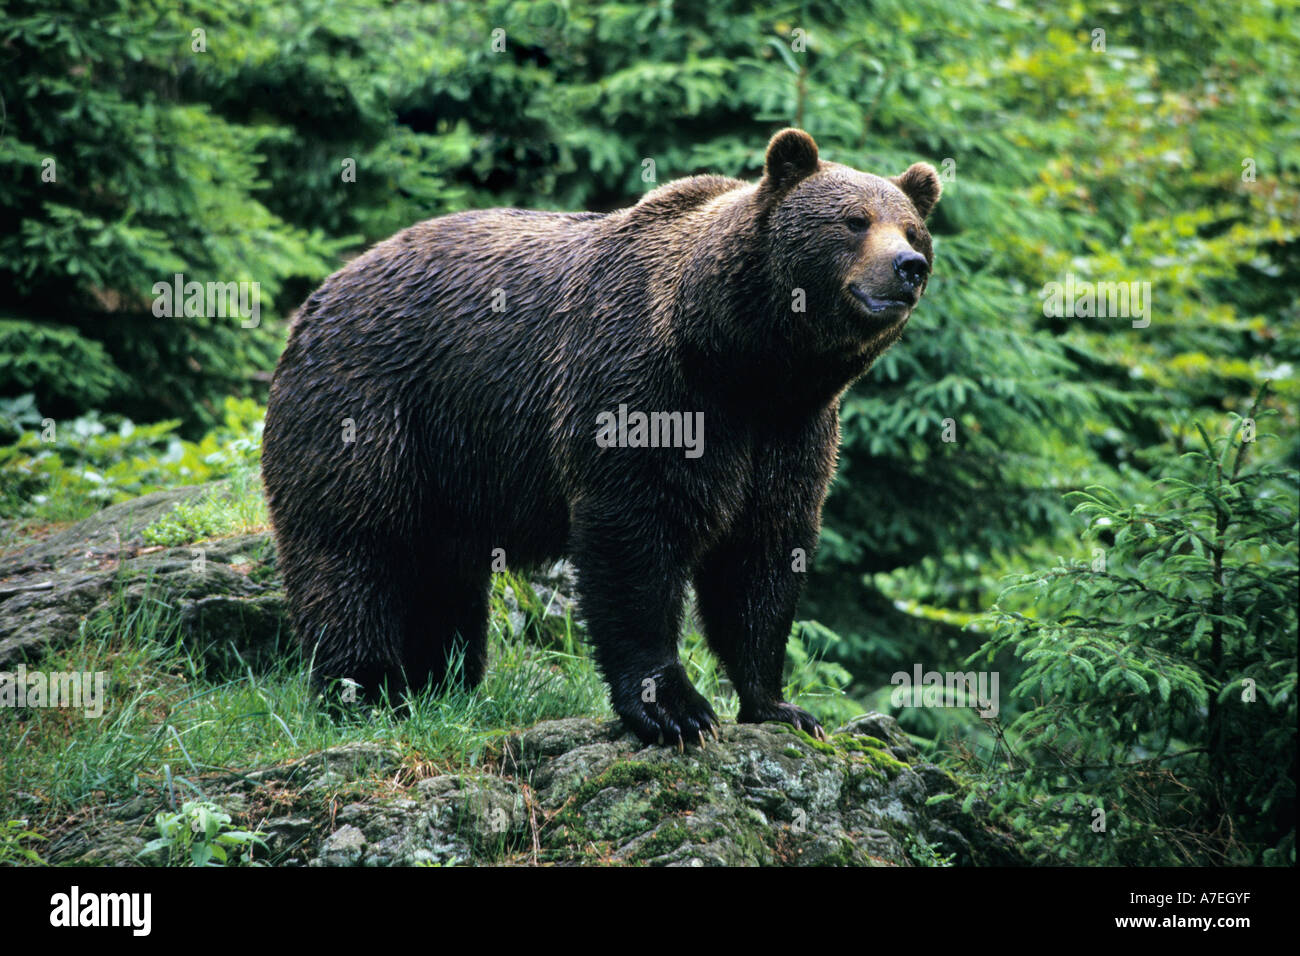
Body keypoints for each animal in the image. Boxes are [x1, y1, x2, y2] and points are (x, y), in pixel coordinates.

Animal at [261, 128, 940, 747]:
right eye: (854, 221)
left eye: (911, 228)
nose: (910, 268)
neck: (741, 360)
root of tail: (321, 294)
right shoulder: (642, 384)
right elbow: (636, 538)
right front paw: (675, 710)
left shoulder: (790, 433)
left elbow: (765, 554)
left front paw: (779, 706)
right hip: (373, 407)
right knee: (355, 544)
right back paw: (365, 689)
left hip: (453, 463)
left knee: (442, 572)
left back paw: (441, 684)